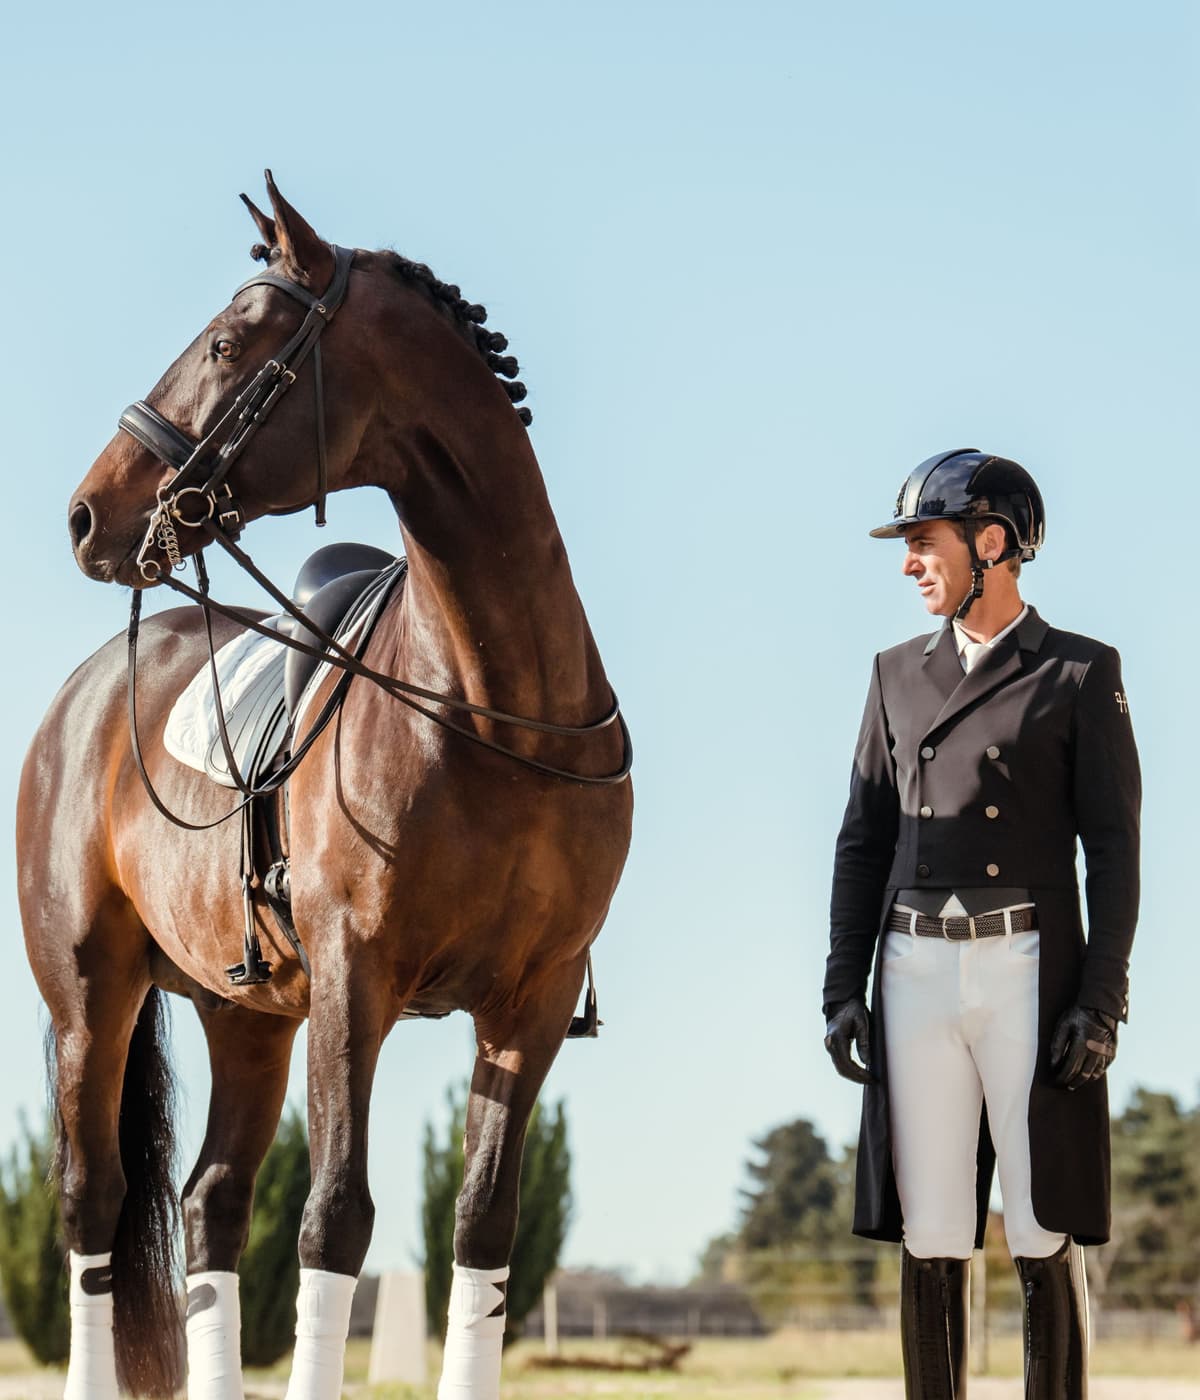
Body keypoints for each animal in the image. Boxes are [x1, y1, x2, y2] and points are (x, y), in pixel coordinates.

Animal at [16, 172, 633, 1400]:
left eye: (224, 344)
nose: (85, 515)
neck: (496, 702)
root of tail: (86, 688)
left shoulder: (531, 1001)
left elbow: (482, 1224)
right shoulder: (359, 978)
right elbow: (335, 1218)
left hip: (246, 1016)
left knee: (209, 1202)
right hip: (89, 1000)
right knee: (95, 1204)